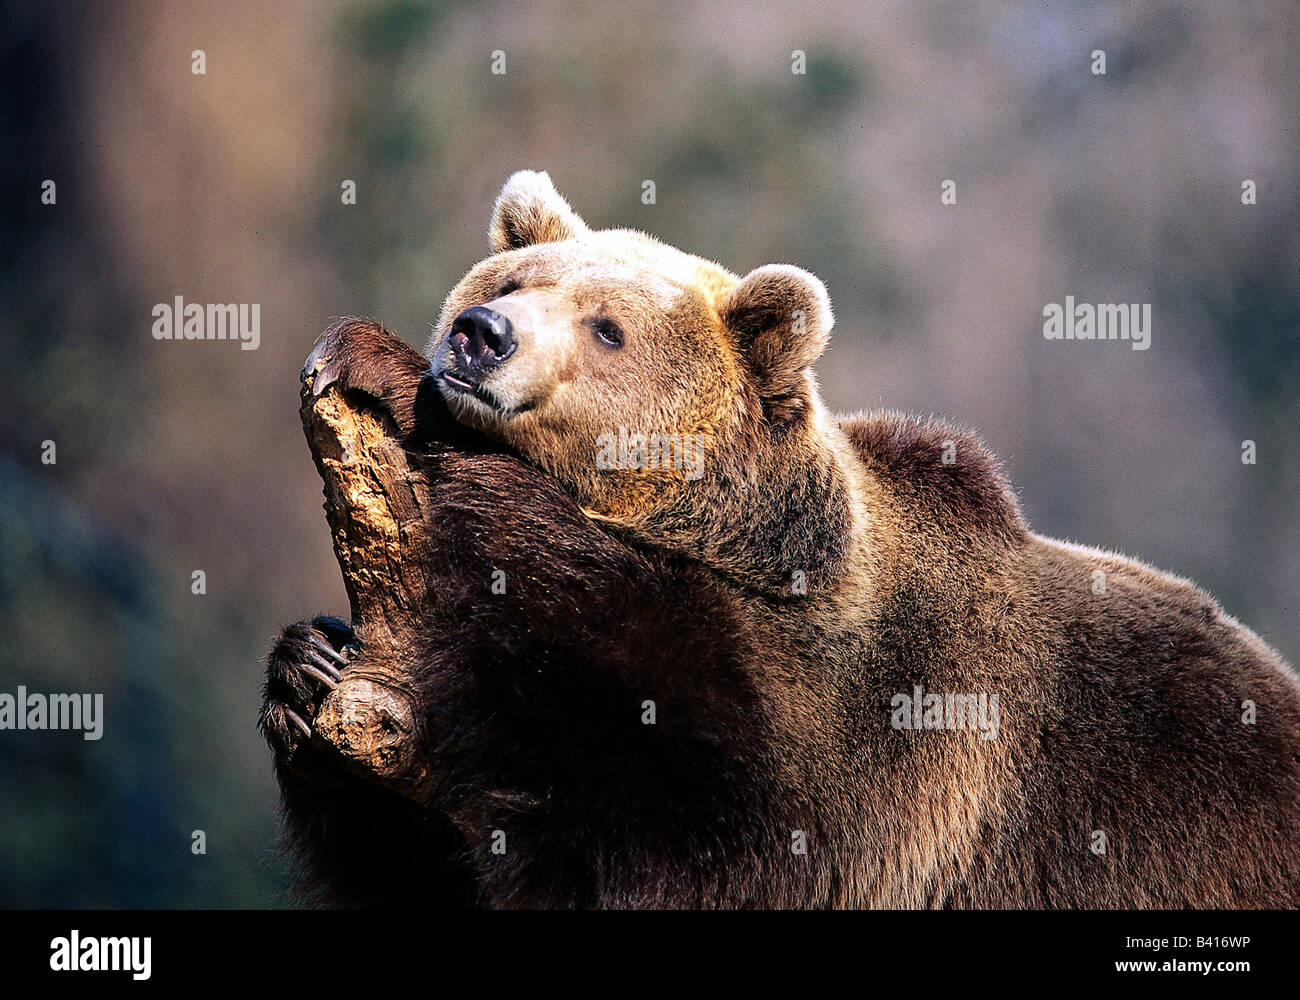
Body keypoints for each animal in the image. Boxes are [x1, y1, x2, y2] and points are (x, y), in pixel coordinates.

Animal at [262, 171, 1300, 908]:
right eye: (514, 280)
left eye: (609, 330)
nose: (481, 335)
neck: (724, 549)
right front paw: (309, 663)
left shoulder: (873, 736)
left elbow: (672, 833)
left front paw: (402, 388)